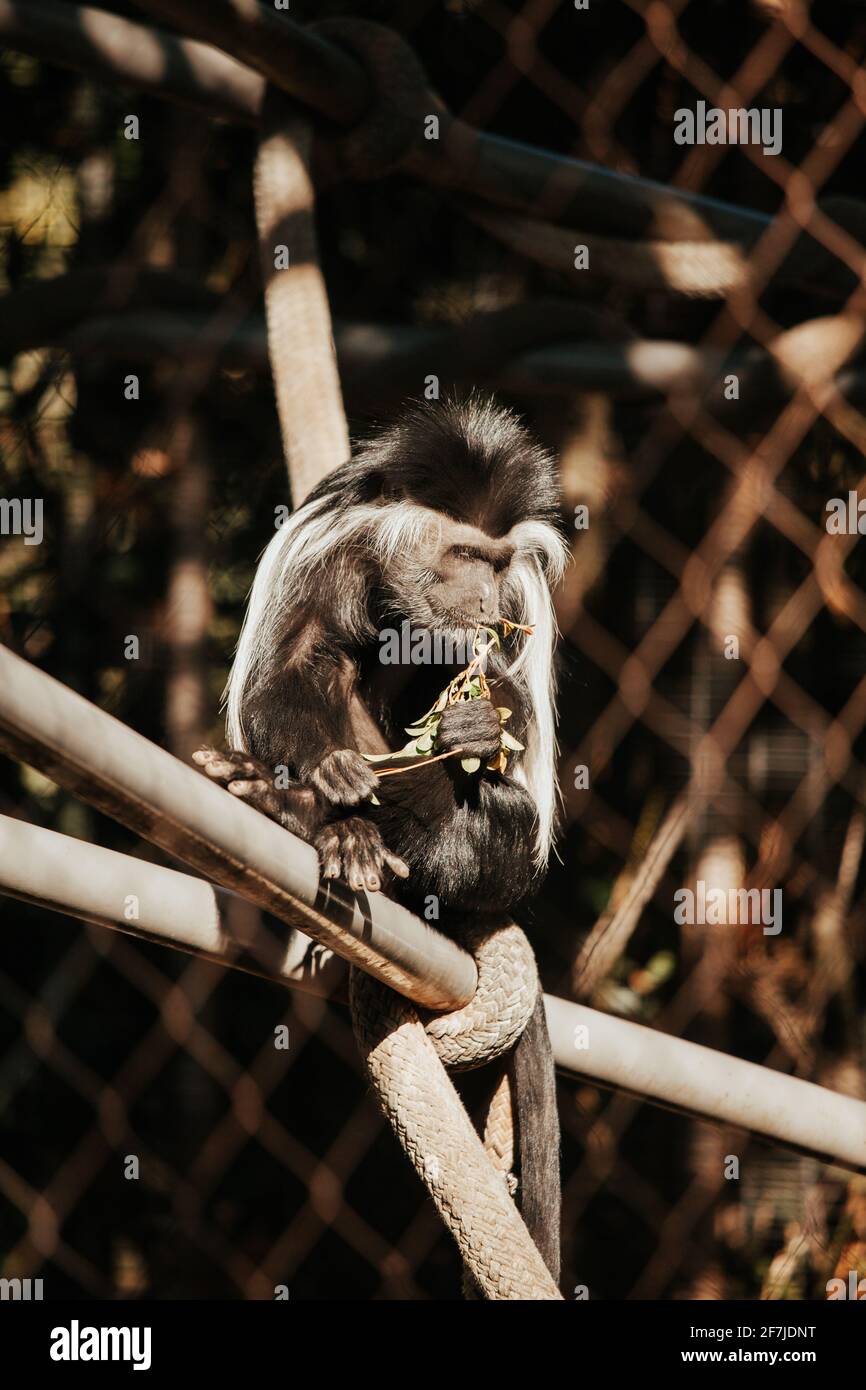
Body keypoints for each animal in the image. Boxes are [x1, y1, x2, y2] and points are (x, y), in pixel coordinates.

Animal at [196, 395, 568, 1280]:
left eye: (495, 561)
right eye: (463, 554)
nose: (483, 602)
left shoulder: (517, 604)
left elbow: (504, 713)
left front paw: (468, 726)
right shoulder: (328, 551)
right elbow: (293, 669)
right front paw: (329, 774)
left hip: (489, 862)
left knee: (495, 813)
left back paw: (320, 819)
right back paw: (308, 808)